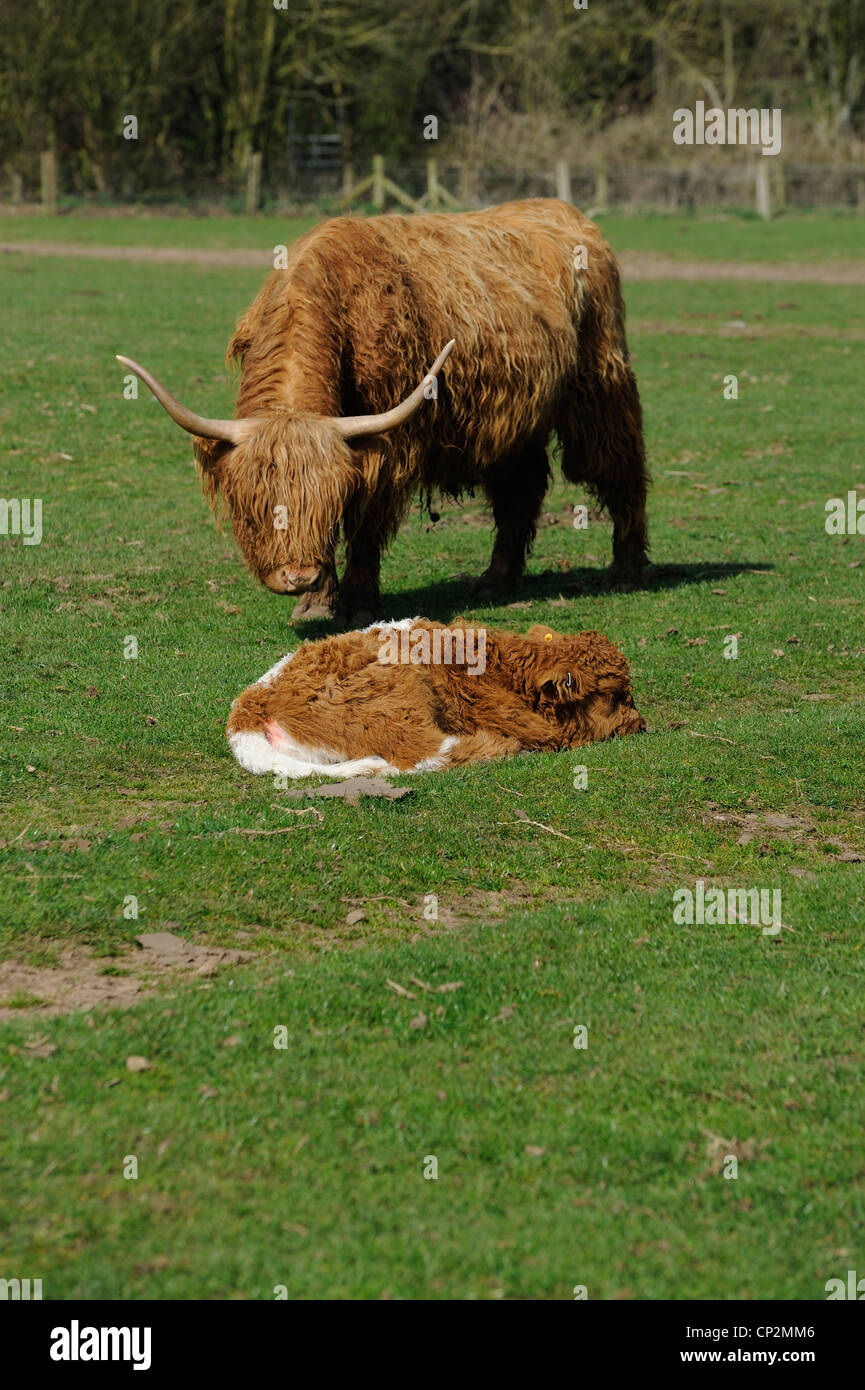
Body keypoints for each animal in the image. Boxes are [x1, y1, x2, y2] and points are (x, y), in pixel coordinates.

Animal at [118, 198, 649, 625]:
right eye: (254, 501)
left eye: (325, 498)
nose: (297, 575)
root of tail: (570, 213)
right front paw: (316, 603)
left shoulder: (387, 444)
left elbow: (365, 523)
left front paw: (355, 603)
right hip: (514, 418)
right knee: (520, 488)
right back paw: (496, 580)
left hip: (600, 387)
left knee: (619, 467)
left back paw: (626, 572)